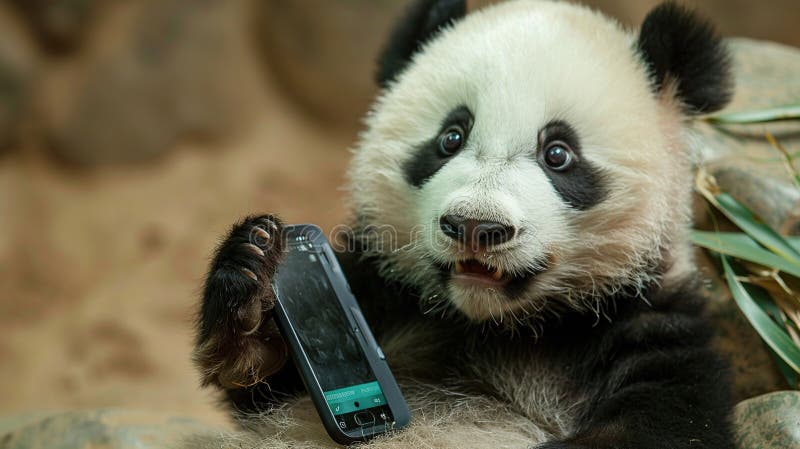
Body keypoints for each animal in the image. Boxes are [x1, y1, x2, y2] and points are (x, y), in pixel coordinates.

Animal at [191, 1, 735, 448]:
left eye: (558, 154)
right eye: (451, 137)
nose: (476, 225)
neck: (501, 330)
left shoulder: (648, 328)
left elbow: (663, 424)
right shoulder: (379, 294)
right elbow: (267, 386)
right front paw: (252, 278)